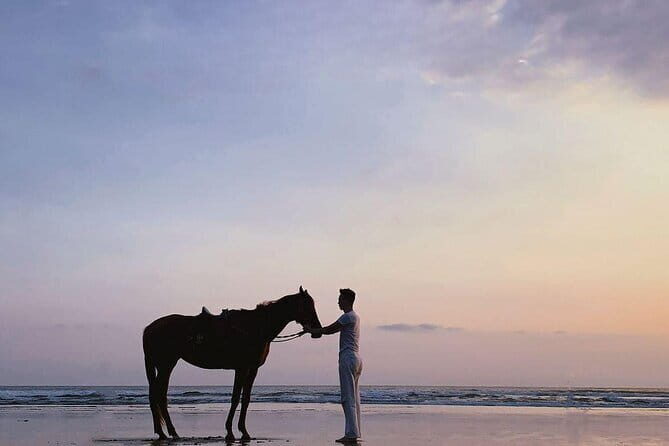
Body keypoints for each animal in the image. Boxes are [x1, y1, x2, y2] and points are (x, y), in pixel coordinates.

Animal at [142, 286, 322, 441]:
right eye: (307, 305)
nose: (318, 330)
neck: (255, 327)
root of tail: (149, 328)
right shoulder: (241, 368)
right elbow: (235, 398)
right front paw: (230, 431)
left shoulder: (252, 369)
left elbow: (246, 398)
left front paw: (244, 431)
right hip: (166, 364)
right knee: (157, 394)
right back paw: (167, 432)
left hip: (166, 365)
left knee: (159, 394)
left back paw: (166, 432)